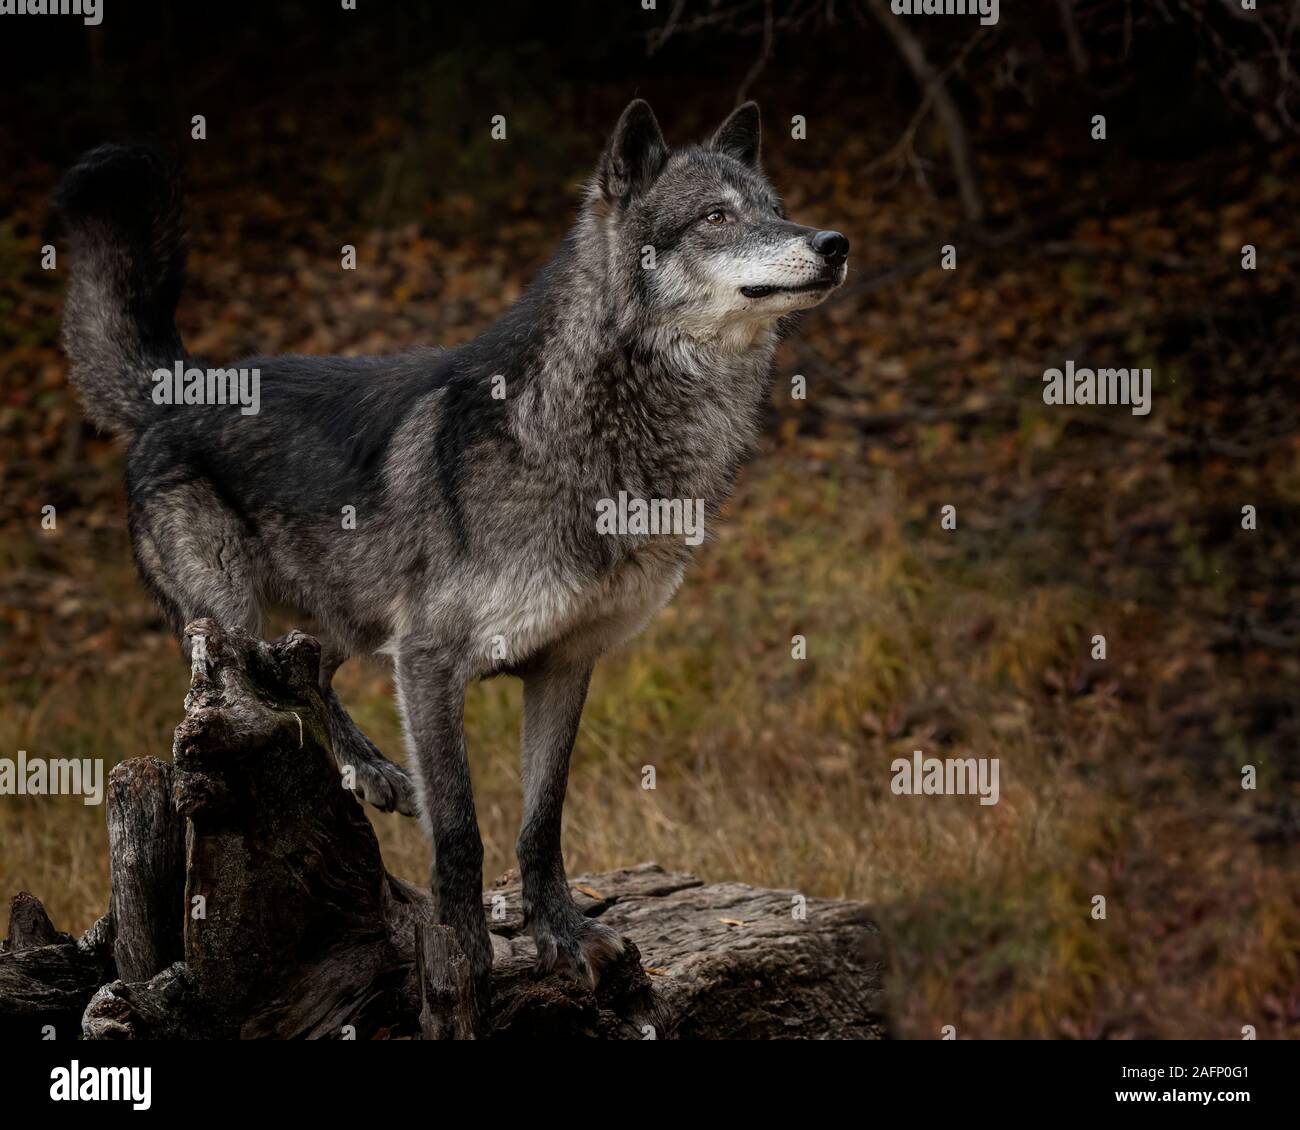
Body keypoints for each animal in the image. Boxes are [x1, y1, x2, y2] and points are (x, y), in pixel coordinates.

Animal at [56, 100, 849, 1009]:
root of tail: (177, 386)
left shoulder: (564, 664)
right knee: (265, 679)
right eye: (717, 217)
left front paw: (562, 936)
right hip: (230, 621)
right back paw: (368, 771)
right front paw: (467, 955)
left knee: (307, 672)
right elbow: (462, 829)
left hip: (346, 619)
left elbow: (542, 822)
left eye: (775, 207)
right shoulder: (431, 662)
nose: (834, 242)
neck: (588, 435)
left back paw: (369, 770)